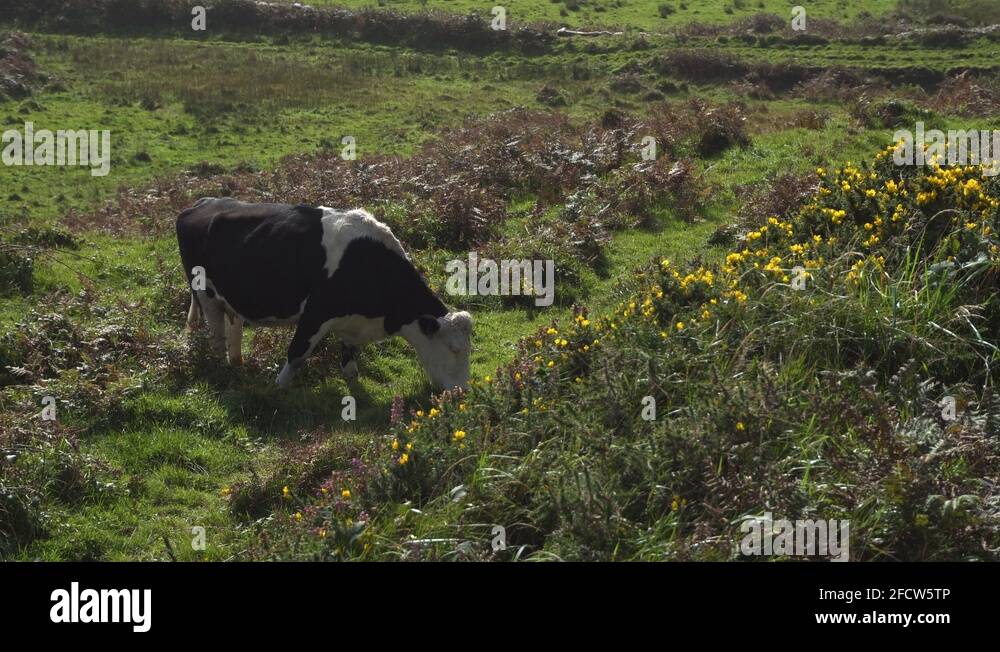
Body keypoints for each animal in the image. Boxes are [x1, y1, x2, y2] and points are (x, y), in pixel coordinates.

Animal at [176, 198, 472, 390]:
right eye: (454, 349)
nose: (463, 392)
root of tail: (201, 204)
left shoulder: (351, 320)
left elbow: (350, 356)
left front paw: (353, 381)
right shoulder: (316, 313)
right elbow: (297, 353)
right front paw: (279, 387)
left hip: (228, 298)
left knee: (233, 325)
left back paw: (236, 363)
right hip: (205, 293)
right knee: (216, 333)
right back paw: (220, 367)